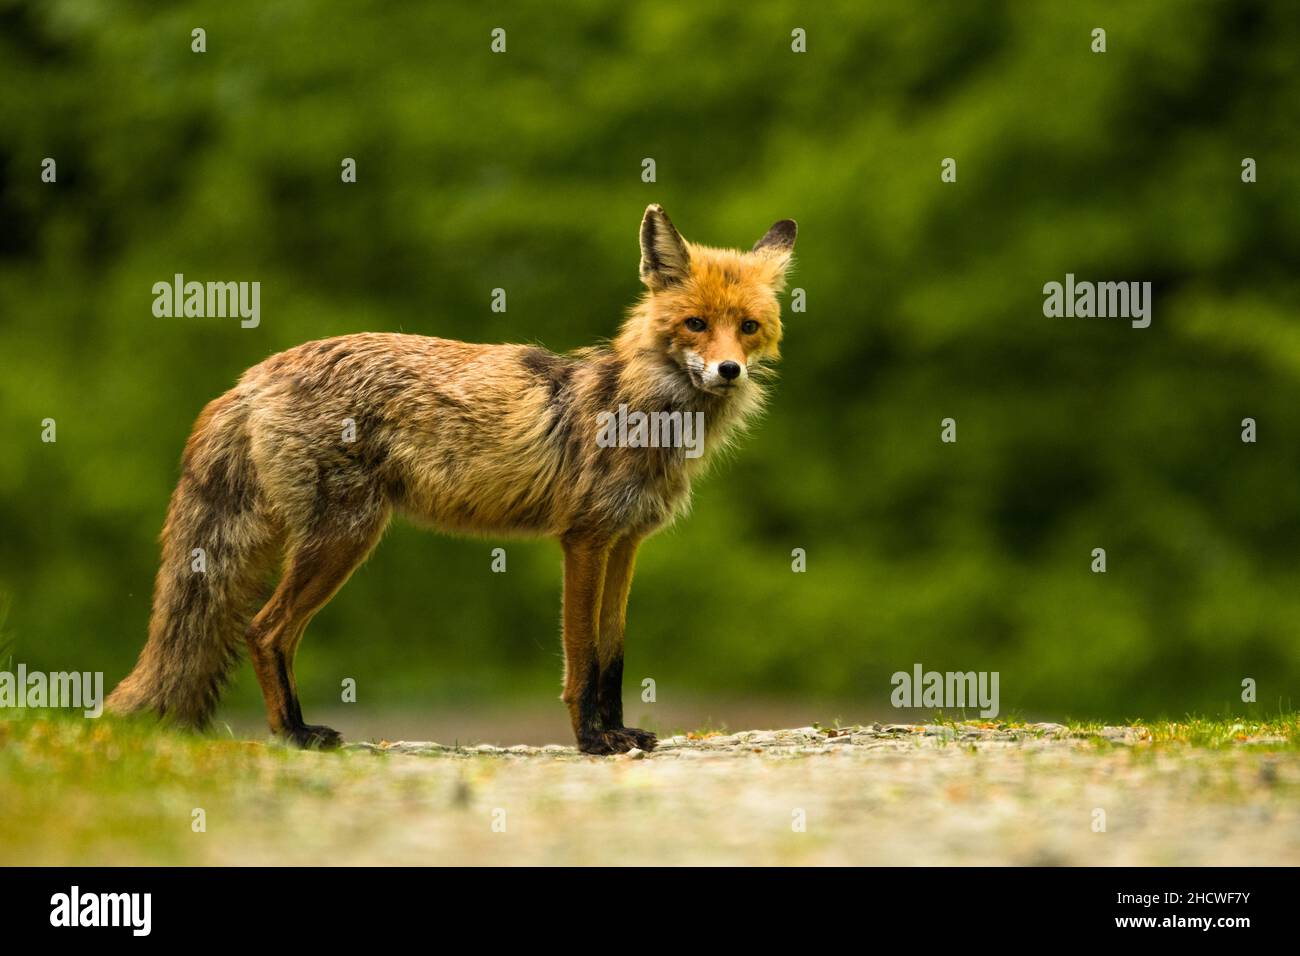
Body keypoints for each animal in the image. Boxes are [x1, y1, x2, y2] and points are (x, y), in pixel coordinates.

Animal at [106, 204, 797, 754]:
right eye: (696, 325)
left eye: (748, 327)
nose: (729, 370)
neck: (639, 411)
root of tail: (254, 375)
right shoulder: (583, 540)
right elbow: (582, 660)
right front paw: (591, 741)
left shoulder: (624, 543)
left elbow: (613, 659)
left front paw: (619, 731)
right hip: (343, 539)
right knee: (263, 628)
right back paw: (296, 735)